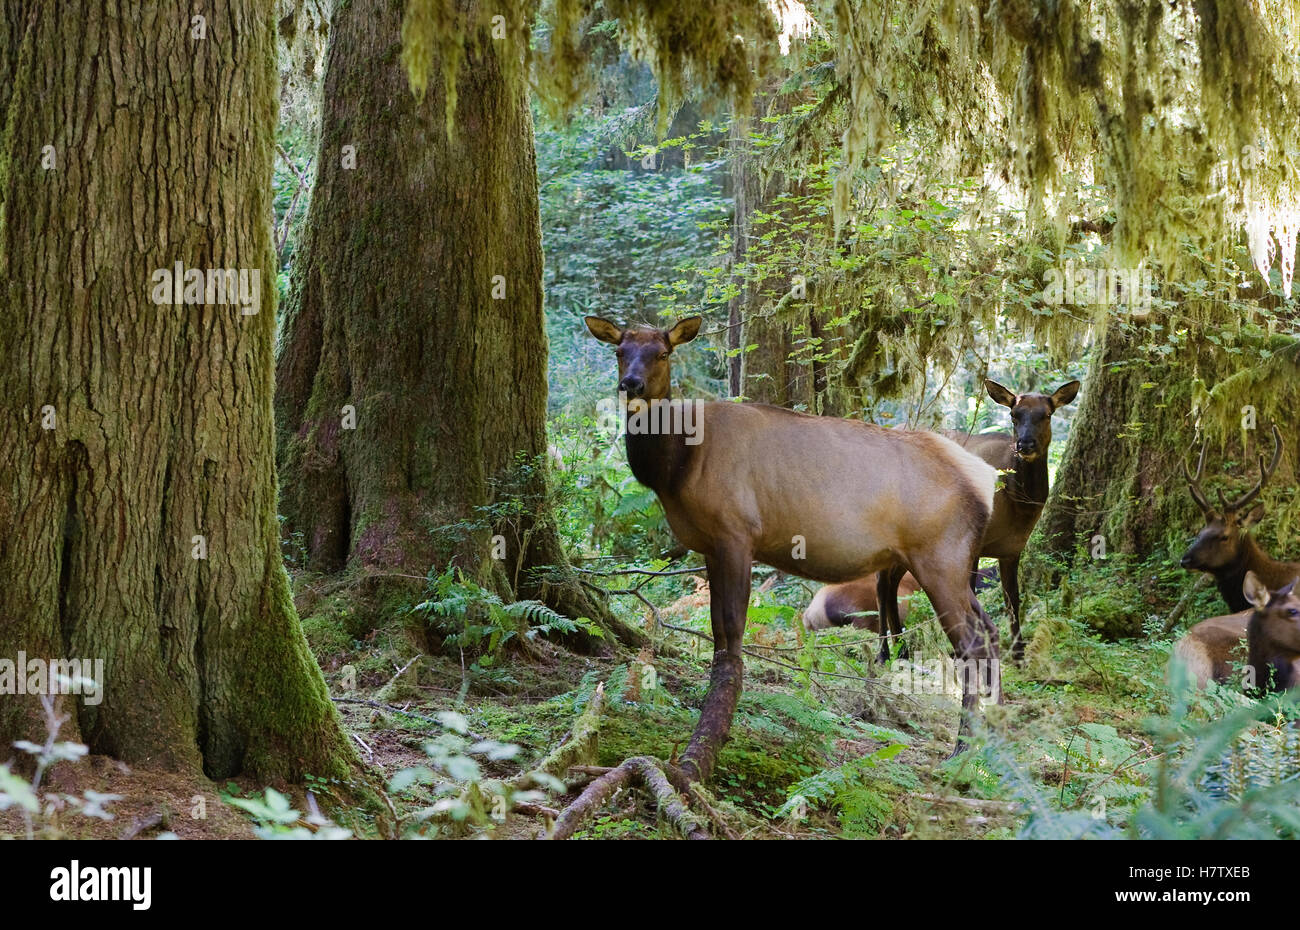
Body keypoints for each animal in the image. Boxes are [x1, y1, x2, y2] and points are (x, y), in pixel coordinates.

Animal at [584, 315, 1000, 780]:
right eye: (619, 350)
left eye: (663, 352)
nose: (631, 384)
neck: (676, 467)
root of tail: (988, 482)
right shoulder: (709, 545)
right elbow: (715, 626)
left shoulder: (736, 532)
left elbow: (733, 626)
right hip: (958, 565)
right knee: (992, 631)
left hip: (939, 557)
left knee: (971, 644)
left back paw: (961, 750)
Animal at [869, 379, 1080, 665]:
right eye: (1014, 415)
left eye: (1046, 415)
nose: (1025, 444)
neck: (1019, 503)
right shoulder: (974, 542)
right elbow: (970, 593)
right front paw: (969, 652)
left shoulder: (1012, 547)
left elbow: (1013, 597)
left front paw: (1019, 654)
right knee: (881, 584)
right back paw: (883, 653)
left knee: (891, 582)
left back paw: (902, 651)